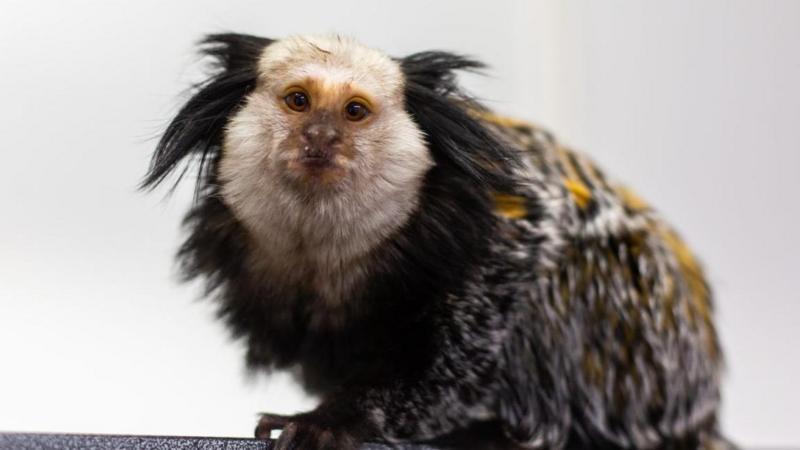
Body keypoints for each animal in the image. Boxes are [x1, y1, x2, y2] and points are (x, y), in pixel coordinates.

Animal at [142, 33, 731, 450]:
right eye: (298, 101)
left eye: (354, 110)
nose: (320, 137)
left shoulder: (505, 232)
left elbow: (473, 342)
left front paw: (344, 416)